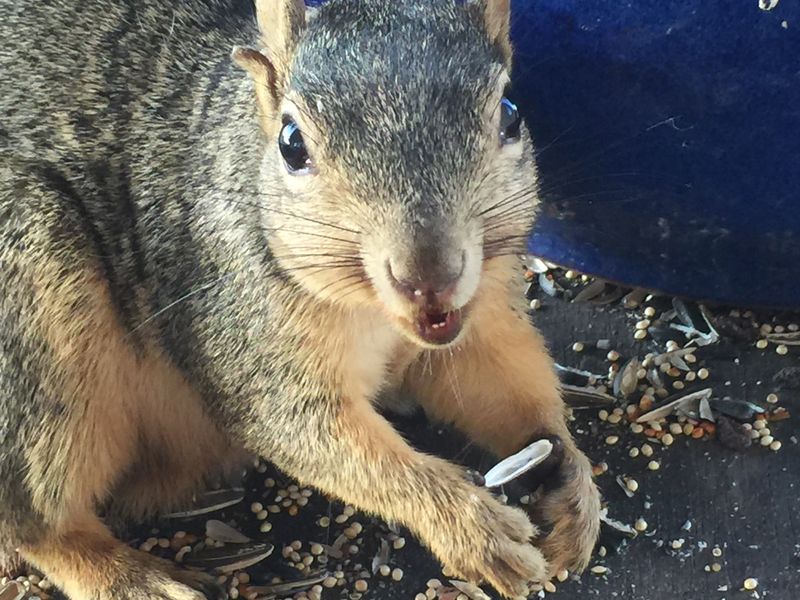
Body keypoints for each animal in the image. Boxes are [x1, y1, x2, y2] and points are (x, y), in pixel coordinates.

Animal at [0, 0, 601, 598]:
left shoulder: (476, 321)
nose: (429, 275)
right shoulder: (243, 336)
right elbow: (314, 435)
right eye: (291, 144)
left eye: (511, 113)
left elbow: (505, 384)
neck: (378, 317)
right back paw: (135, 578)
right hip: (36, 317)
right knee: (37, 524)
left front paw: (572, 480)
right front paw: (471, 525)